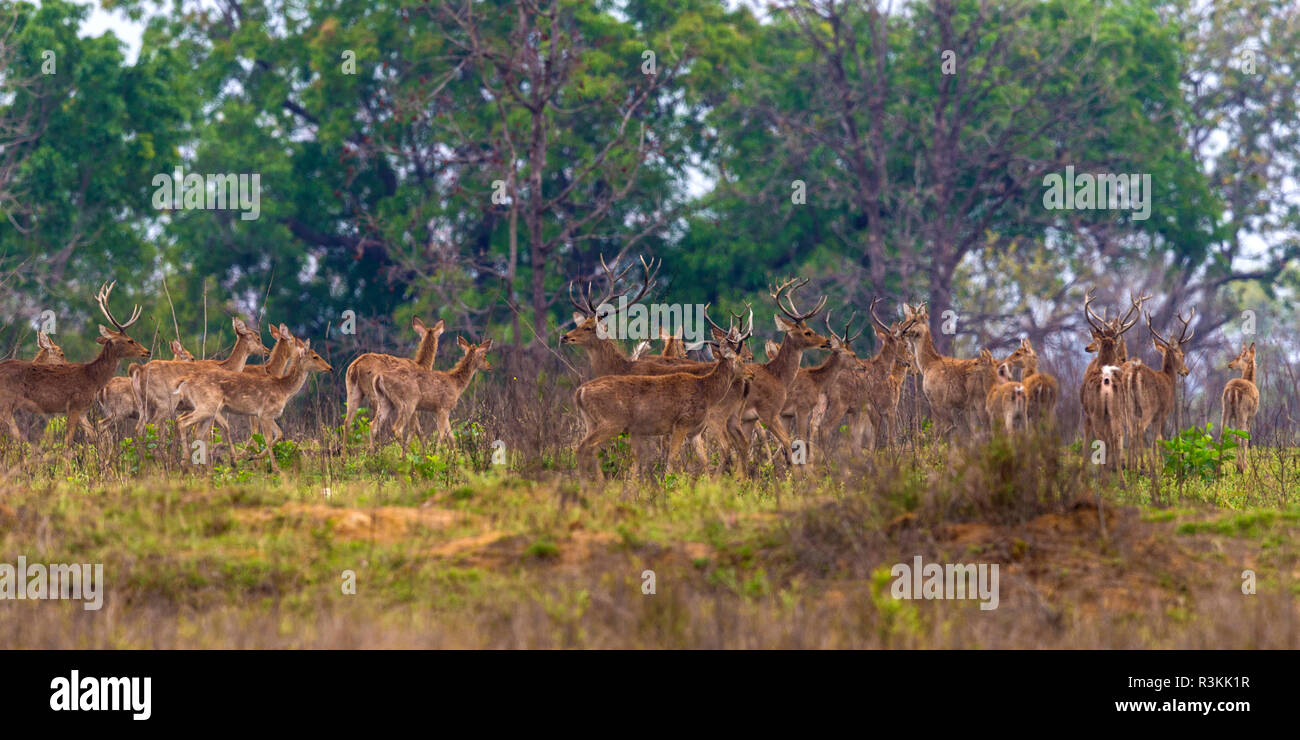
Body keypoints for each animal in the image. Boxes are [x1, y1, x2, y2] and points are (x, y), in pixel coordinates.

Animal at [0, 282, 148, 445]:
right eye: (130, 340)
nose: (147, 352)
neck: (93, 378)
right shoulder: (75, 404)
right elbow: (68, 440)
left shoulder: (82, 411)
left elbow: (94, 436)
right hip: (7, 400)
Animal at [134, 317, 269, 435]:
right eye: (257, 338)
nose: (267, 350)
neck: (224, 367)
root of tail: (141, 371)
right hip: (165, 404)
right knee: (153, 425)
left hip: (145, 406)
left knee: (140, 427)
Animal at [174, 336, 332, 470]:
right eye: (315, 356)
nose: (330, 368)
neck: (284, 390)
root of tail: (186, 381)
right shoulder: (264, 413)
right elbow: (268, 439)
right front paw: (275, 469)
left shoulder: (269, 415)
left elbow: (279, 434)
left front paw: (253, 457)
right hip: (207, 406)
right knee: (183, 422)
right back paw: (187, 463)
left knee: (194, 429)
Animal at [1127, 308, 1194, 467]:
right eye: (1182, 354)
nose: (1186, 371)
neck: (1168, 379)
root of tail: (1134, 374)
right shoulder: (1162, 413)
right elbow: (1159, 439)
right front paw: (1161, 465)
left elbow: (1154, 440)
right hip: (1147, 407)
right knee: (1140, 429)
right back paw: (1142, 467)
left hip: (1127, 408)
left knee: (1130, 431)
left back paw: (1129, 466)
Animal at [1221, 342, 1258, 472]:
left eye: (1238, 357)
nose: (1230, 364)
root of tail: (1232, 390)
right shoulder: (1251, 415)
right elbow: (1246, 438)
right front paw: (1246, 465)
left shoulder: (1234, 416)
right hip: (1242, 412)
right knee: (1239, 437)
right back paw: (1241, 466)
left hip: (1225, 410)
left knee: (1222, 435)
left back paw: (1219, 468)